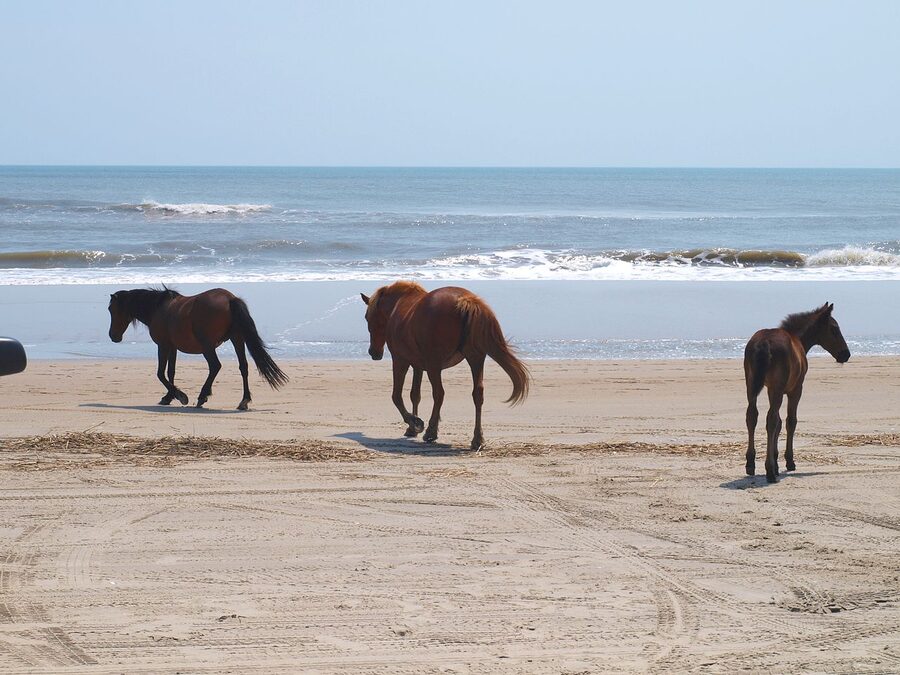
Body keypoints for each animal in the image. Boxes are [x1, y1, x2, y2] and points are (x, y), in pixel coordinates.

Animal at [108, 287, 287, 409]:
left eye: (111, 309)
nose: (112, 336)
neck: (158, 309)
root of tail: (230, 298)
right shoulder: (173, 347)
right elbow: (171, 372)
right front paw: (169, 397)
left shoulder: (163, 345)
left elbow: (160, 373)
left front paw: (181, 396)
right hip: (237, 338)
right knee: (243, 366)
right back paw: (244, 400)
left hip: (208, 346)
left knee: (215, 366)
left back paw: (202, 396)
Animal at [361, 281, 530, 450]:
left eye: (367, 317)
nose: (373, 352)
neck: (398, 305)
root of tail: (465, 300)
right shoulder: (418, 366)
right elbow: (415, 395)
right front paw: (412, 428)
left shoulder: (400, 360)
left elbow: (396, 396)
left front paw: (415, 422)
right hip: (475, 359)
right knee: (477, 394)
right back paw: (477, 438)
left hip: (434, 366)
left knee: (439, 394)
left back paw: (431, 431)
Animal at [744, 302, 850, 483]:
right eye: (834, 329)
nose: (846, 354)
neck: (798, 339)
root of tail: (764, 343)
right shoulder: (795, 389)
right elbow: (790, 421)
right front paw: (788, 461)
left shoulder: (770, 388)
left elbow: (780, 423)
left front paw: (777, 461)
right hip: (778, 388)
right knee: (770, 420)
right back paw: (769, 471)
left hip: (751, 385)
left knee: (752, 416)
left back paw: (751, 464)